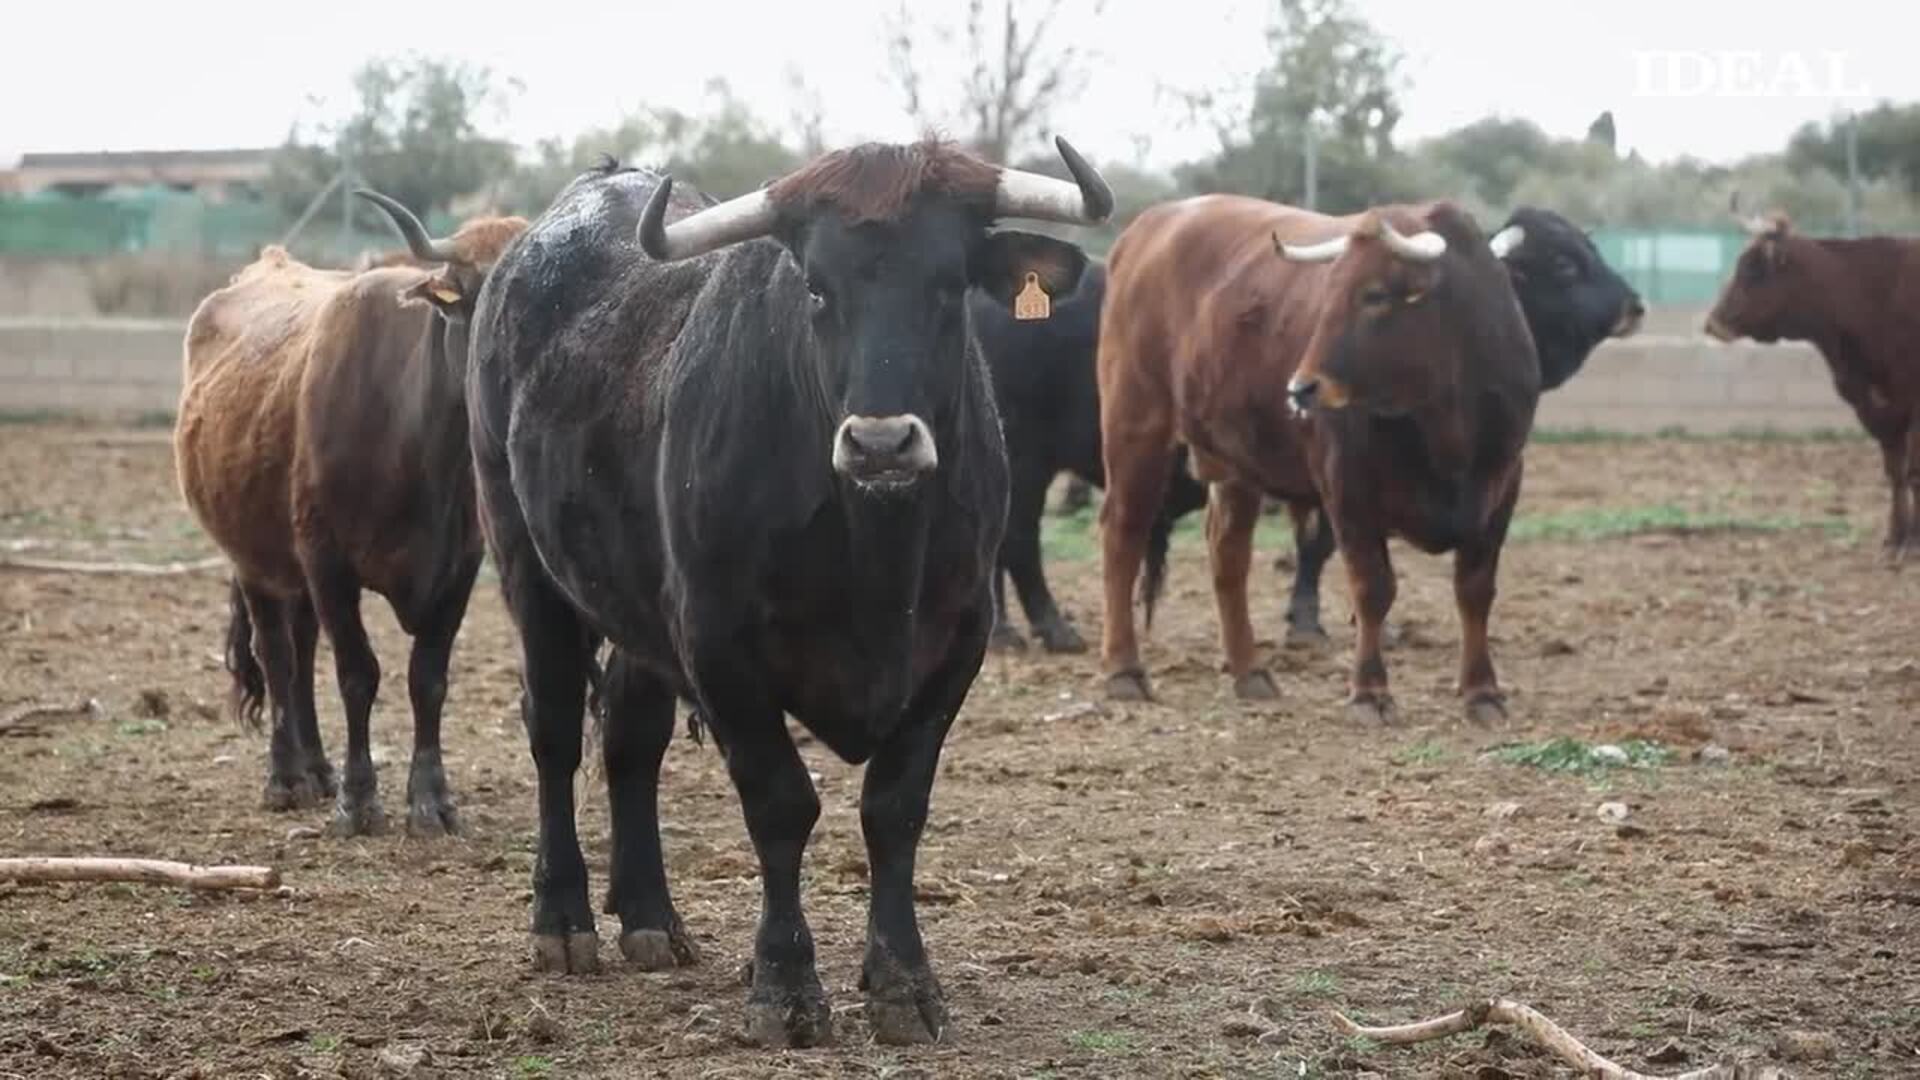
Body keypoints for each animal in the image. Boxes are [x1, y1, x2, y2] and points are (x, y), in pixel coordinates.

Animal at [174, 192, 526, 835]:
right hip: (254, 558)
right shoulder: (328, 561)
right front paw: (360, 800)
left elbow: (428, 680)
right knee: (278, 654)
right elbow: (358, 675)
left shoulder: (459, 567)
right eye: (479, 294)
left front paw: (431, 800)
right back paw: (287, 777)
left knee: (302, 647)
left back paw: (317, 768)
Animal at [465, 137, 1110, 1046]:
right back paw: (563, 922)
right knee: (554, 731)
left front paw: (904, 983)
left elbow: (894, 807)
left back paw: (650, 918)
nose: (881, 442)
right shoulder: (719, 648)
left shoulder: (958, 643)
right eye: (816, 288)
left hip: (634, 611)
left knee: (631, 738)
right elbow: (780, 806)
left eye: (949, 285)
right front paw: (785, 985)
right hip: (528, 566)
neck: (873, 548)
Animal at [976, 206, 1640, 658]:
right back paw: (1049, 626)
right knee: (1019, 543)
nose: (1634, 305)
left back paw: (1006, 629)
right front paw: (1309, 619)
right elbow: (1323, 547)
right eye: (1565, 263)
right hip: (1031, 461)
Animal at [1095, 195, 1540, 724]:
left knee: (1228, 552)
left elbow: (1474, 591)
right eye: (1325, 294)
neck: (1443, 419)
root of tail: (1150, 224)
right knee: (1123, 534)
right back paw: (1124, 670)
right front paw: (1369, 692)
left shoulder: (1502, 485)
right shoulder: (1347, 489)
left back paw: (1249, 670)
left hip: (1236, 460)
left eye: (1374, 295)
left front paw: (1482, 692)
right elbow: (1373, 588)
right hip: (1135, 425)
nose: (1301, 388)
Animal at [1705, 210, 1920, 562]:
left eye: (1753, 268)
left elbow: (1913, 471)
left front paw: (1911, 543)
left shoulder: (1912, 404)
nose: (1712, 323)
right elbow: (1895, 472)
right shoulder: (1878, 409)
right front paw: (1895, 538)